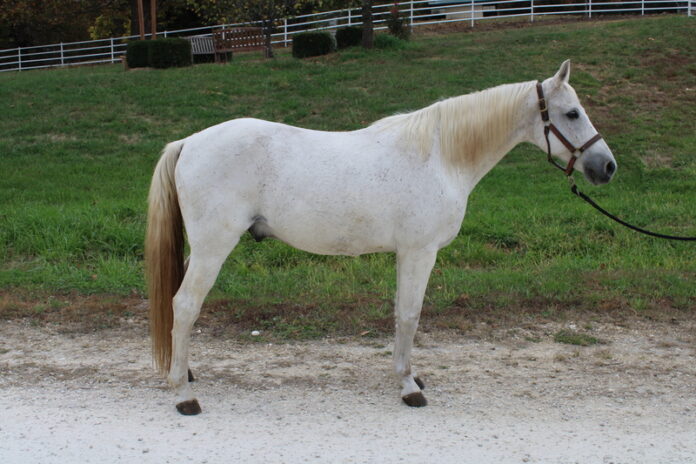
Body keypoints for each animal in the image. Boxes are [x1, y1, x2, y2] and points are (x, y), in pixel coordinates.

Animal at [145, 60, 617, 415]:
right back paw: (184, 395)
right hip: (214, 247)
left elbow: (401, 314)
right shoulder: (419, 252)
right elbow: (409, 315)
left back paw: (186, 373)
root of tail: (189, 142)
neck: (439, 157)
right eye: (572, 113)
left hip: (200, 250)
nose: (606, 166)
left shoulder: (409, 254)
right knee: (185, 305)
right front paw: (408, 386)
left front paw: (410, 375)